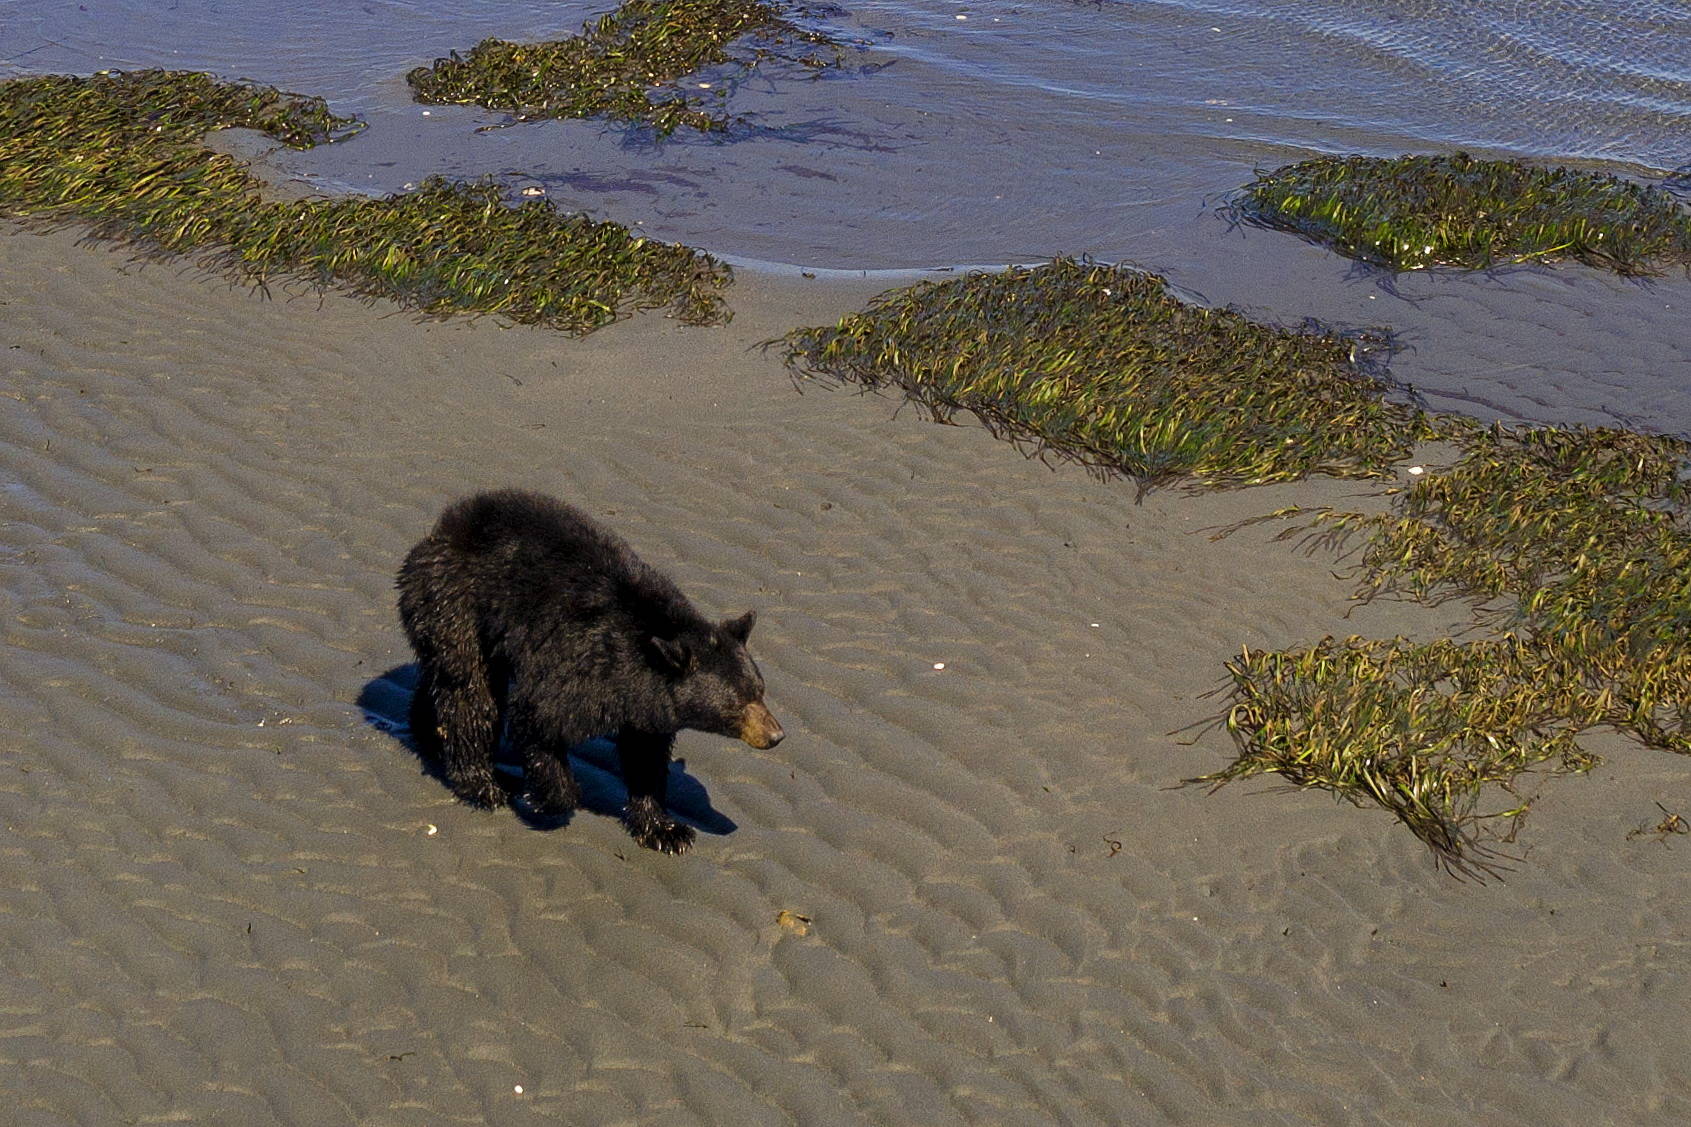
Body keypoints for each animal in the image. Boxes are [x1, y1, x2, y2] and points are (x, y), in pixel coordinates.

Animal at [395, 488, 783, 855]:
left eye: (760, 689)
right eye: (738, 703)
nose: (776, 735)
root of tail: (443, 527)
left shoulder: (646, 705)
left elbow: (646, 757)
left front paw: (666, 830)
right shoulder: (579, 664)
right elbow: (538, 717)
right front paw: (548, 797)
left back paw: (428, 733)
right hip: (456, 605)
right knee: (471, 692)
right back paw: (483, 783)